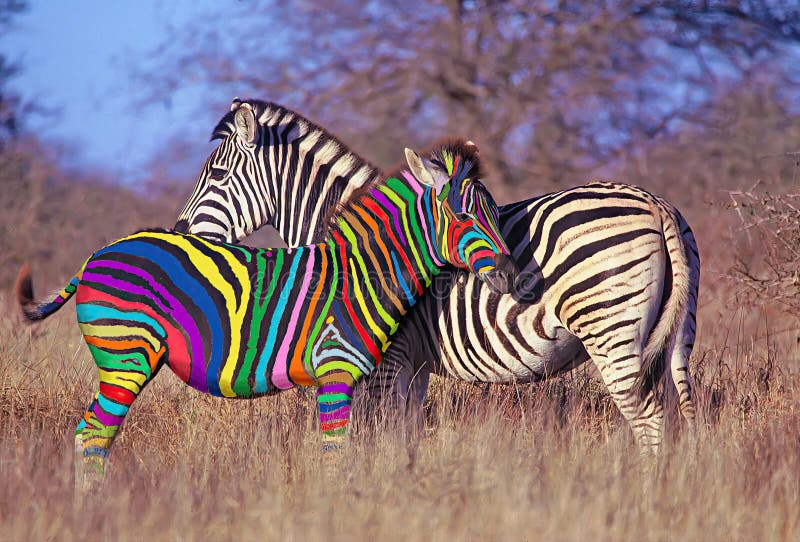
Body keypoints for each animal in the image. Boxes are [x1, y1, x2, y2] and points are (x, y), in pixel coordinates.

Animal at [15, 140, 518, 488]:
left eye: (494, 214)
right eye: (463, 217)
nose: (511, 277)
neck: (363, 273)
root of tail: (96, 255)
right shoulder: (337, 368)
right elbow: (336, 453)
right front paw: (335, 507)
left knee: (89, 433)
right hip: (126, 356)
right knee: (94, 436)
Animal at [176, 98, 700, 454]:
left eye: (217, 175)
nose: (179, 231)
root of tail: (656, 203)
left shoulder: (386, 363)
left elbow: (379, 437)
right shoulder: (415, 365)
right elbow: (406, 437)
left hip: (610, 328)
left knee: (649, 420)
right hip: (673, 337)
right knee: (681, 411)